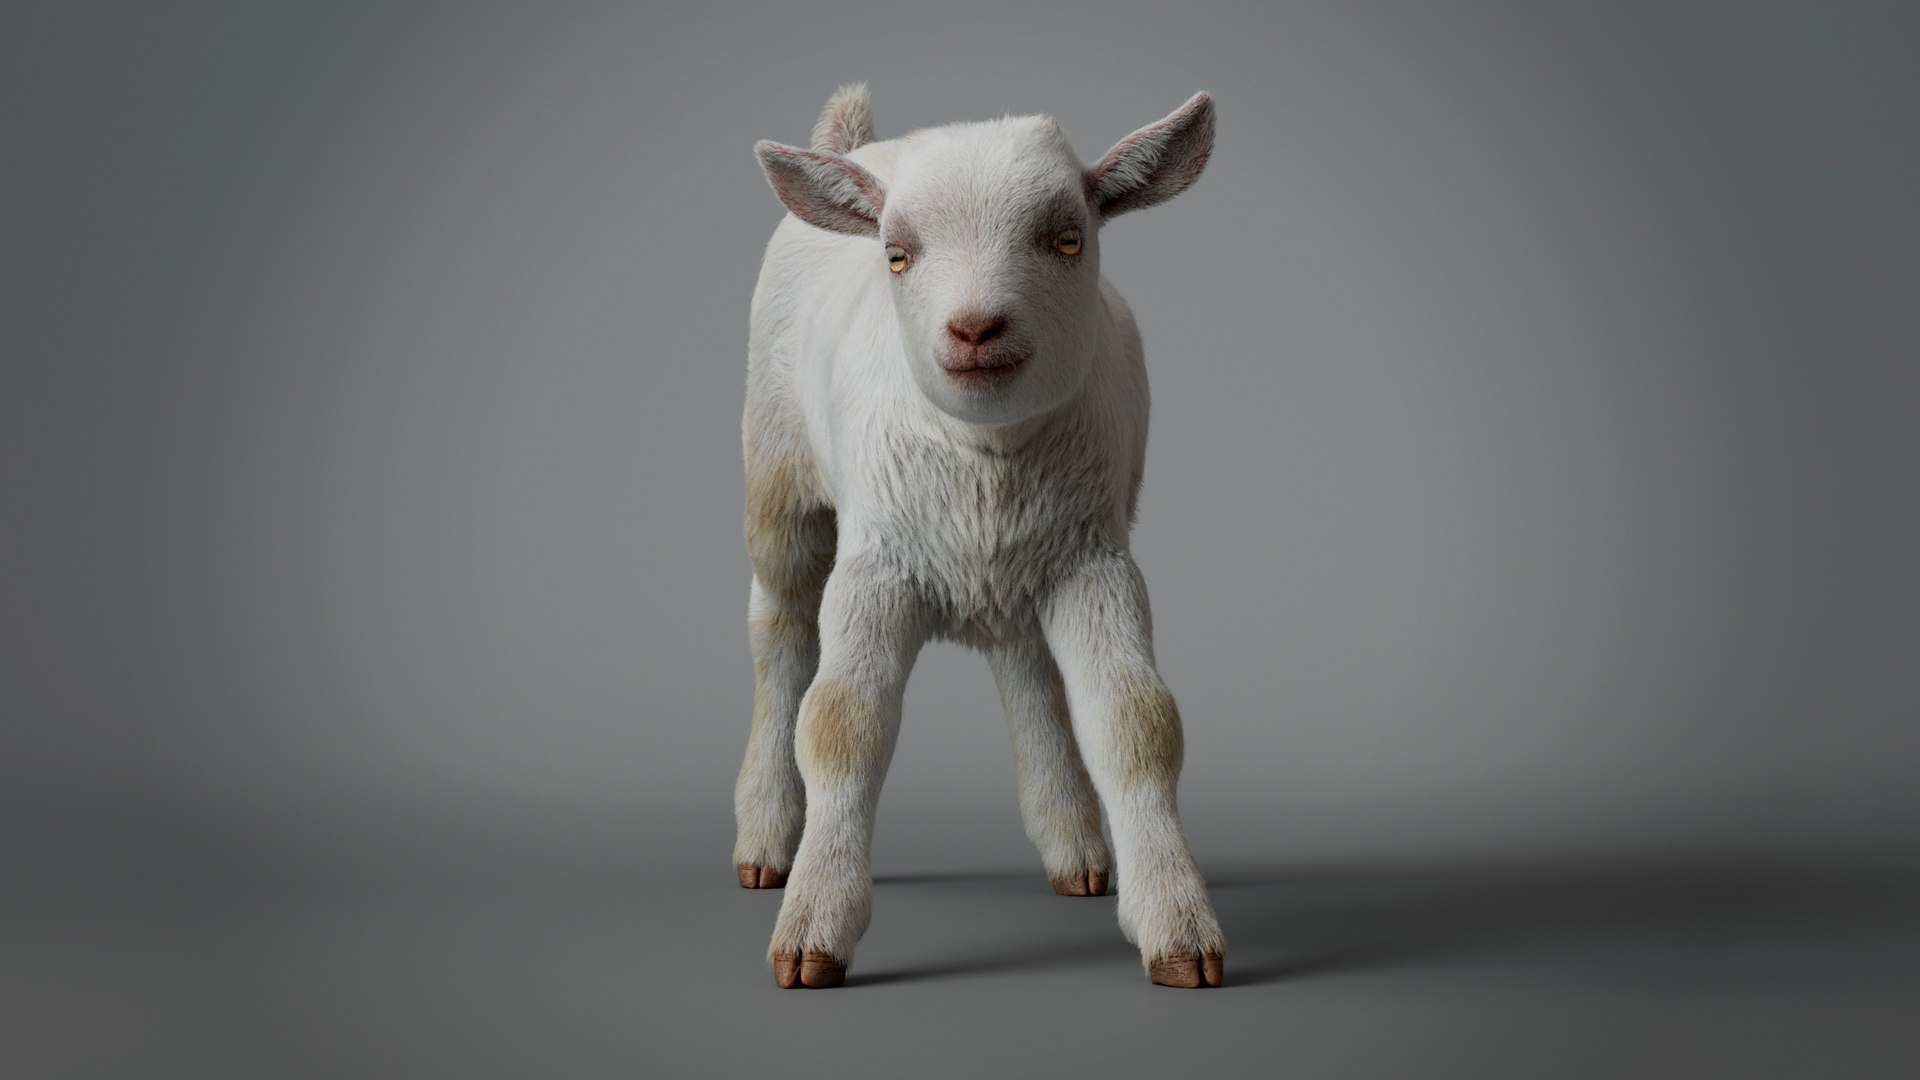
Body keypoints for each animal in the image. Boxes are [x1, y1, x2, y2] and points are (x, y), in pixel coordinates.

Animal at [735, 83, 1224, 989]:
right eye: (898, 255)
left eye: (1068, 238)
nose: (975, 329)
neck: (985, 450)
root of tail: (858, 149)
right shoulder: (874, 565)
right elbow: (840, 723)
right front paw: (813, 930)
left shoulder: (1097, 561)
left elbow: (1135, 722)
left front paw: (1177, 926)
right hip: (776, 477)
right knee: (778, 629)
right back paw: (763, 836)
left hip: (1029, 559)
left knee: (1024, 661)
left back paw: (1074, 847)